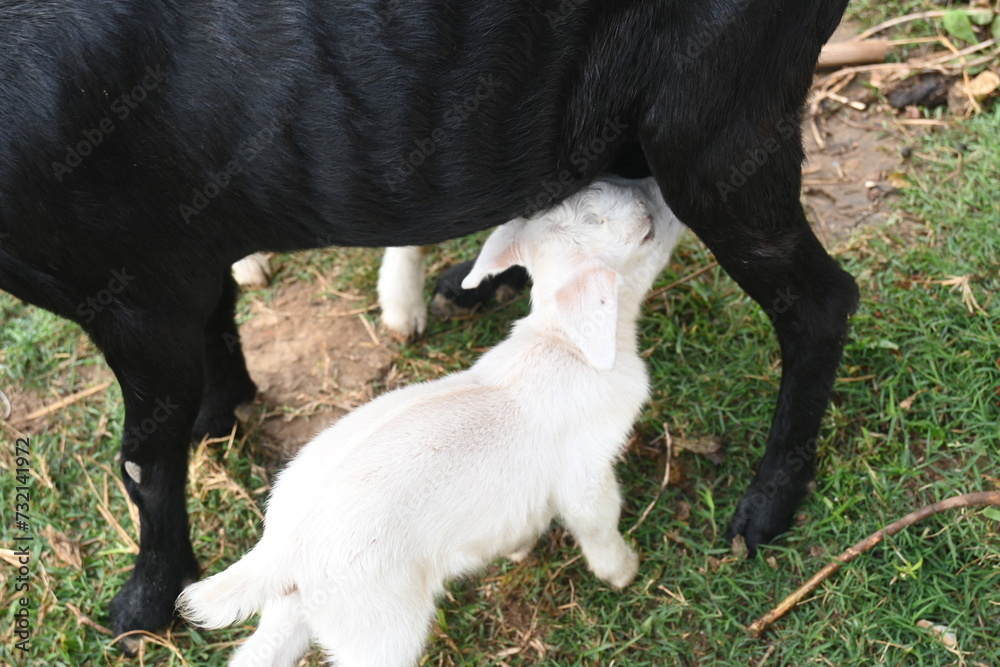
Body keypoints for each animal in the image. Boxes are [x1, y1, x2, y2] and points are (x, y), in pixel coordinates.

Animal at [177, 177, 684, 667]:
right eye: (646, 232)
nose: (667, 197)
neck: (565, 344)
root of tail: (281, 553)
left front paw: (518, 547)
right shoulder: (586, 474)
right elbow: (599, 524)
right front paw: (623, 571)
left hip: (299, 608)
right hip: (378, 630)